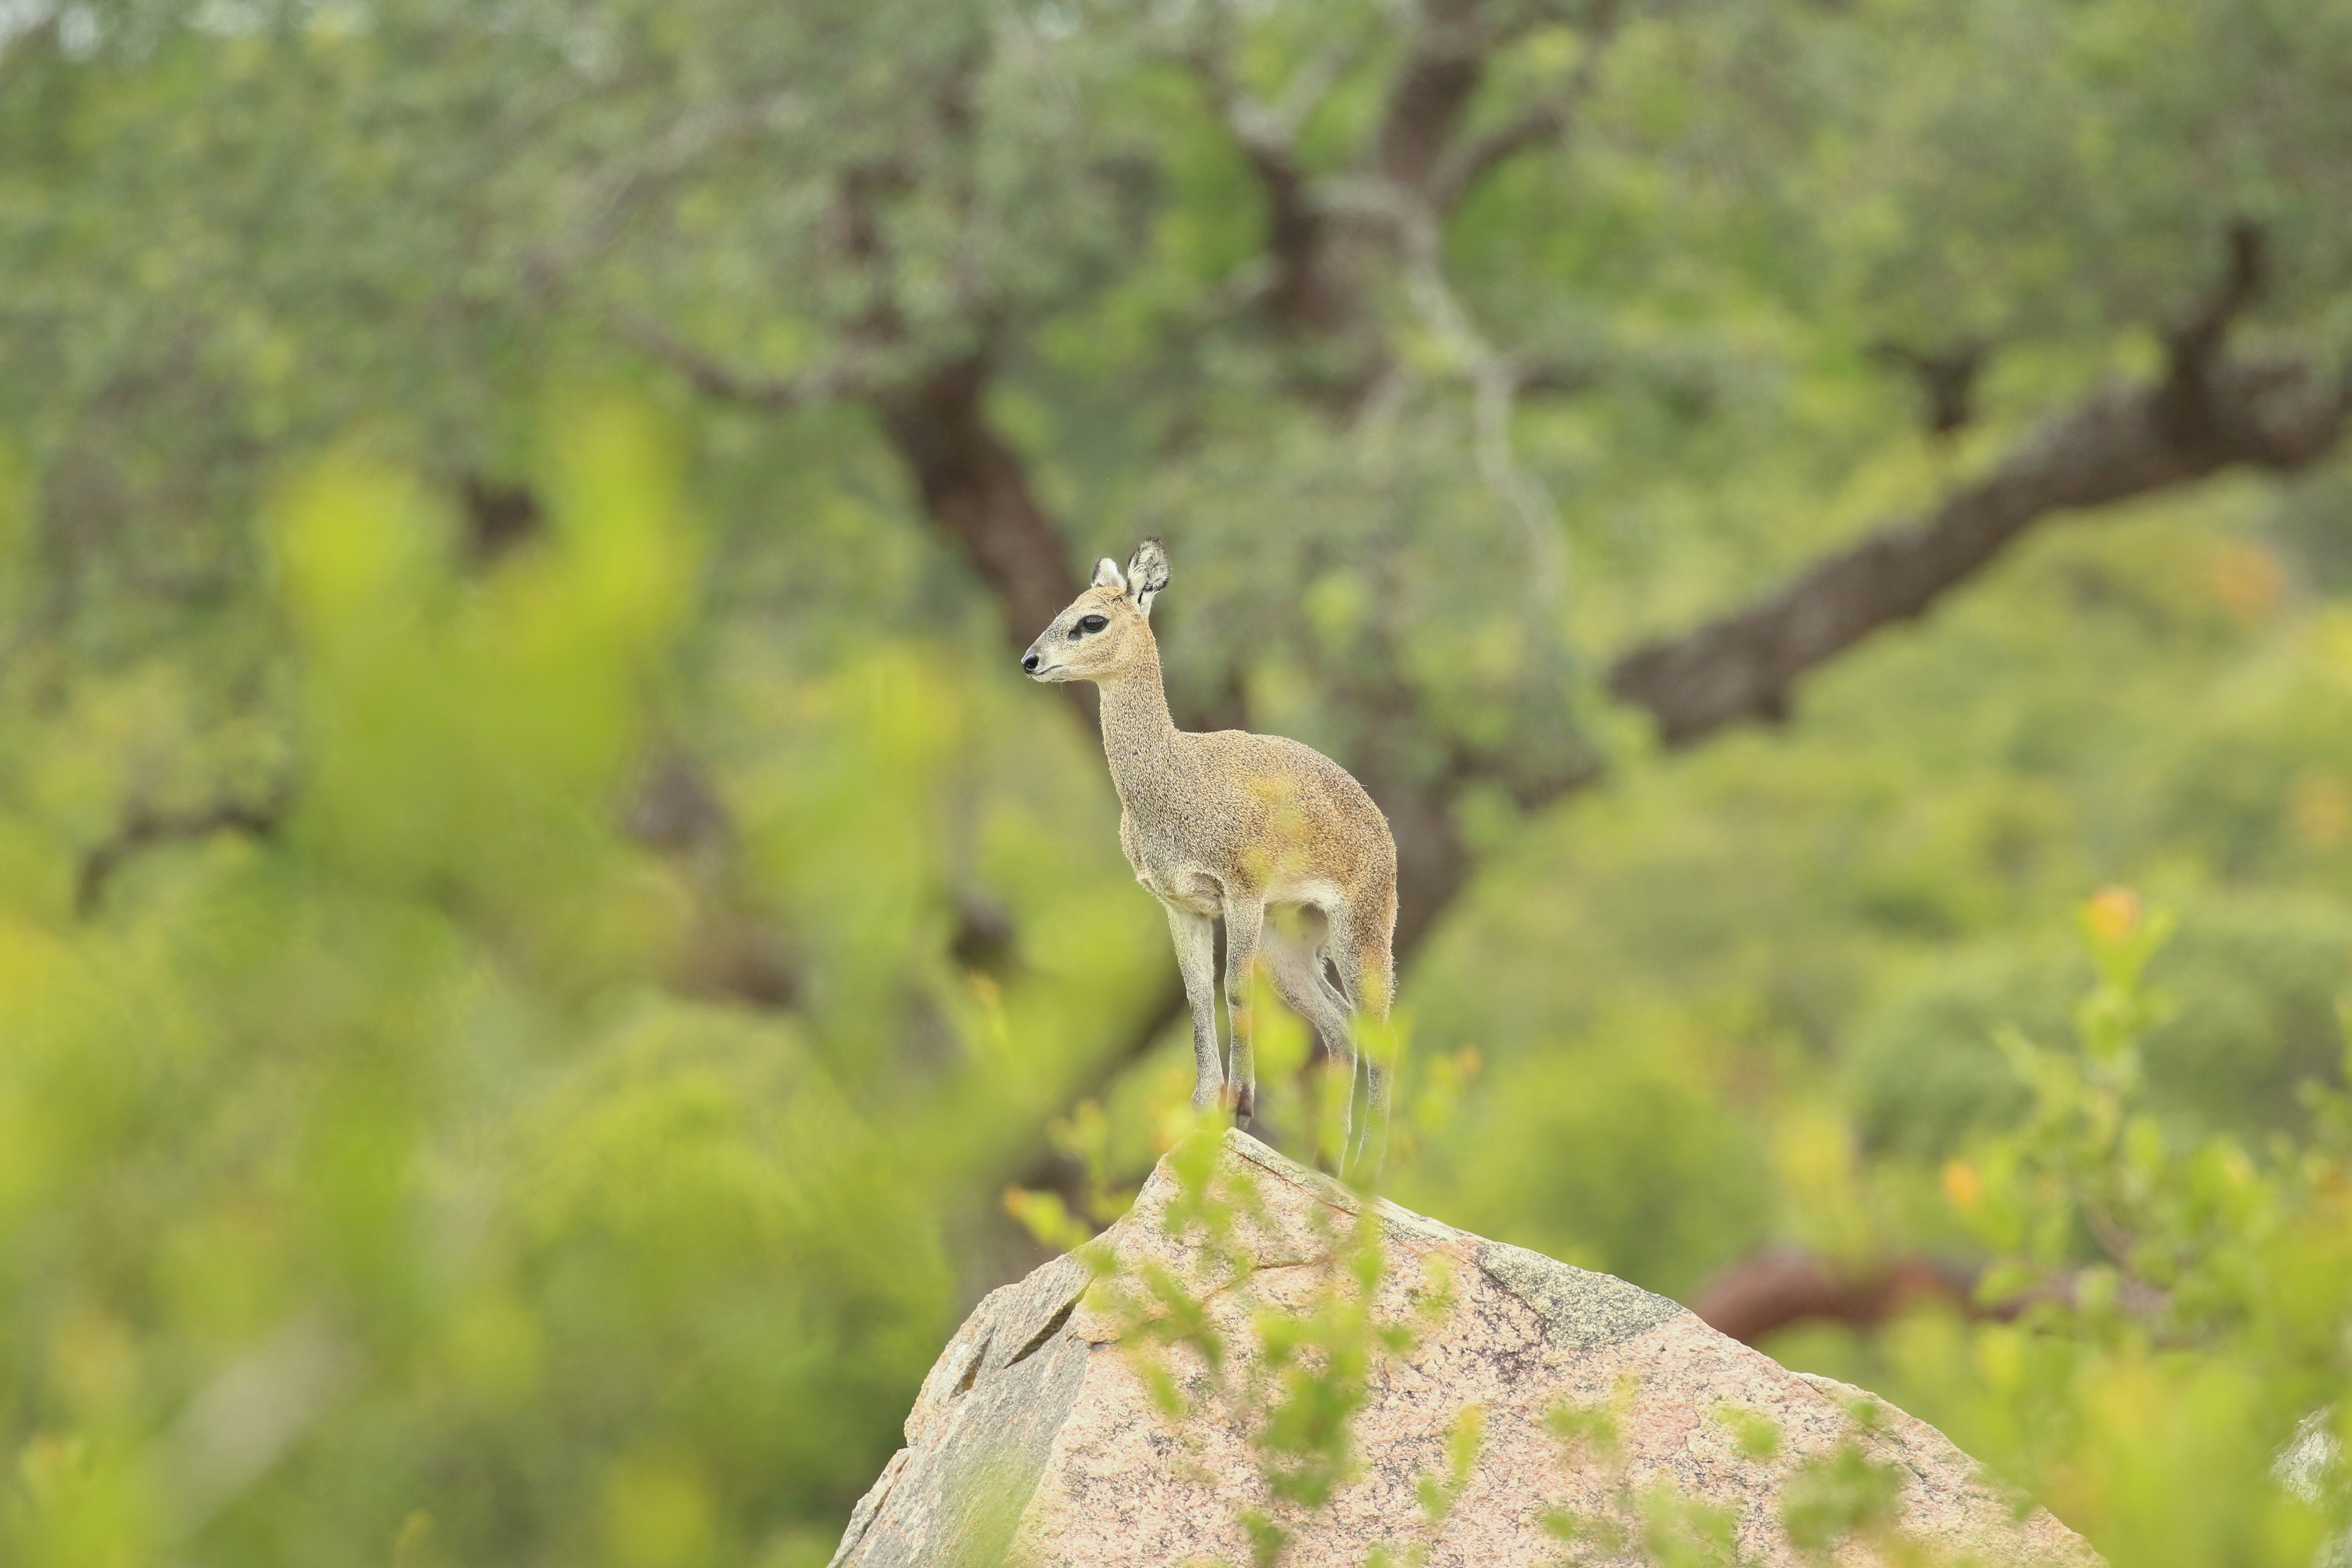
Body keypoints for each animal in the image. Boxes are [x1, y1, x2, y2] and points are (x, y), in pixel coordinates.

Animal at [1021, 540, 1397, 1168]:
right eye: (1066, 608)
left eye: (1092, 620)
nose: (1030, 659)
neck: (1176, 776)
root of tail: (1382, 827)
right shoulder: (1182, 906)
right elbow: (1198, 997)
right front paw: (1203, 1111)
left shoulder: (1240, 893)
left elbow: (1234, 990)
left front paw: (1240, 1104)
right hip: (1290, 943)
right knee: (1340, 1027)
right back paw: (1328, 1166)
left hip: (1361, 933)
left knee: (1380, 1033)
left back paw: (1367, 1173)